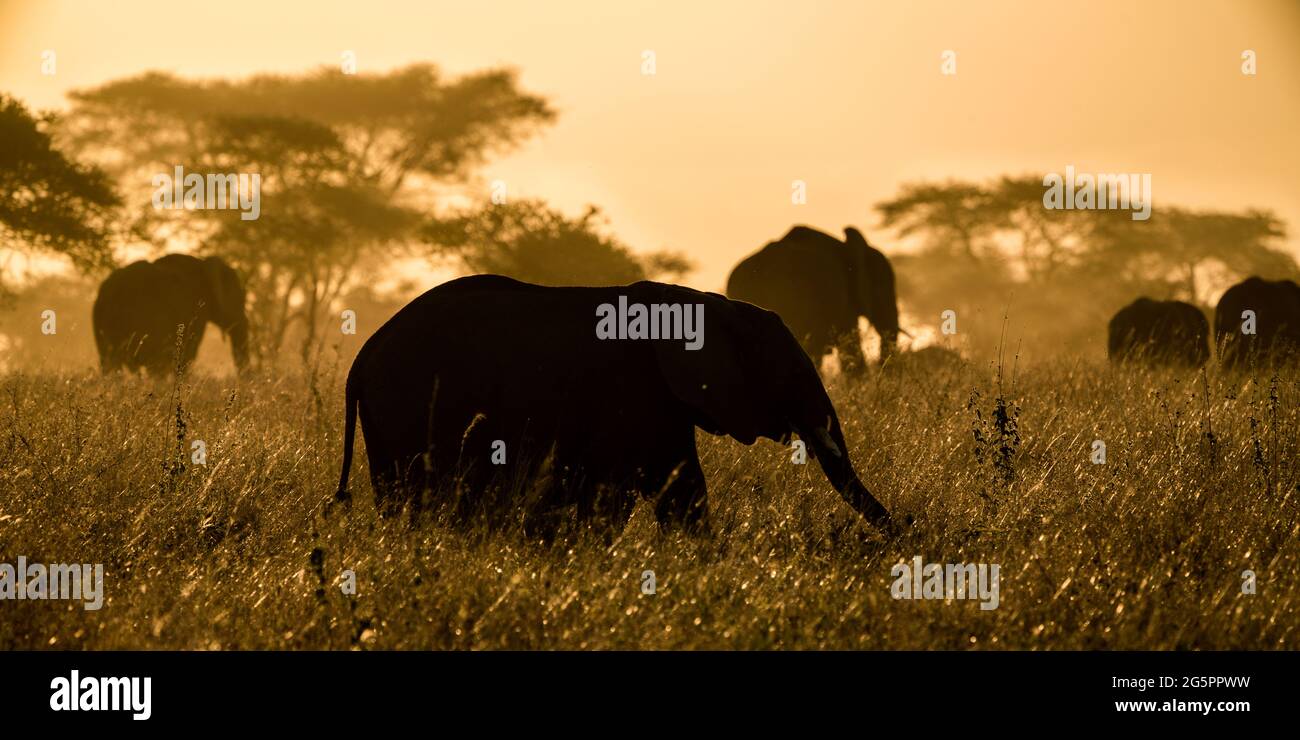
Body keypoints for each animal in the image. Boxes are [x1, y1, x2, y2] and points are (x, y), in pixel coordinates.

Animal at [335, 274, 894, 534]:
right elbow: (642, 492)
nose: (905, 531)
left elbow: (679, 490)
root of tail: (361, 358)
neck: (702, 302)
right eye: (786, 373)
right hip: (404, 409)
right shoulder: (633, 394)